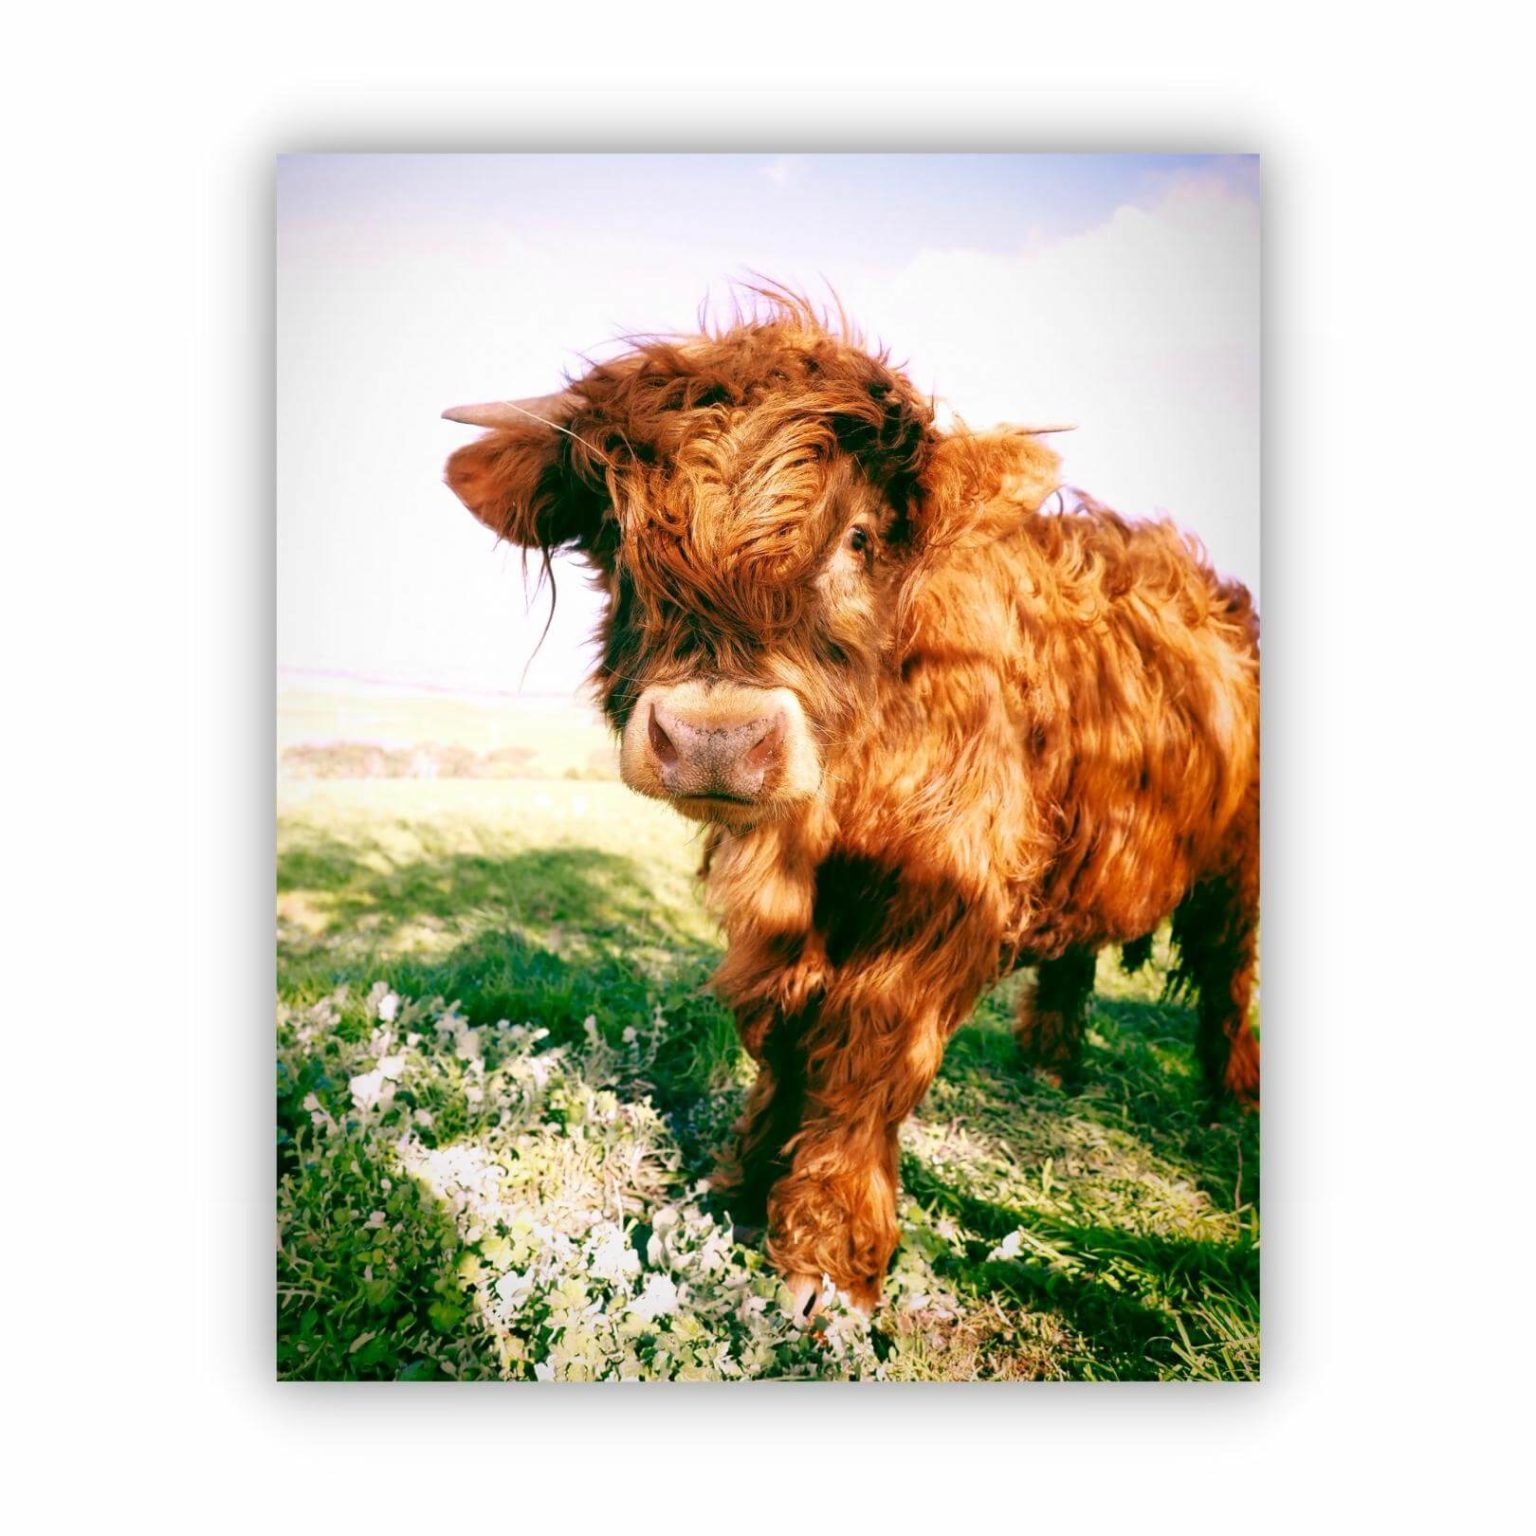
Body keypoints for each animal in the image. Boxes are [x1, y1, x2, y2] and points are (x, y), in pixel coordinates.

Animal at [442, 295, 1260, 1317]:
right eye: (620, 538)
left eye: (860, 538)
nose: (716, 737)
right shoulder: (784, 915)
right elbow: (784, 1034)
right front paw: (742, 1184)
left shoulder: (941, 897)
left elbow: (866, 1046)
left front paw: (828, 1258)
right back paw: (1051, 1064)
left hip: (1240, 859)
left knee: (1229, 967)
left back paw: (1229, 1098)